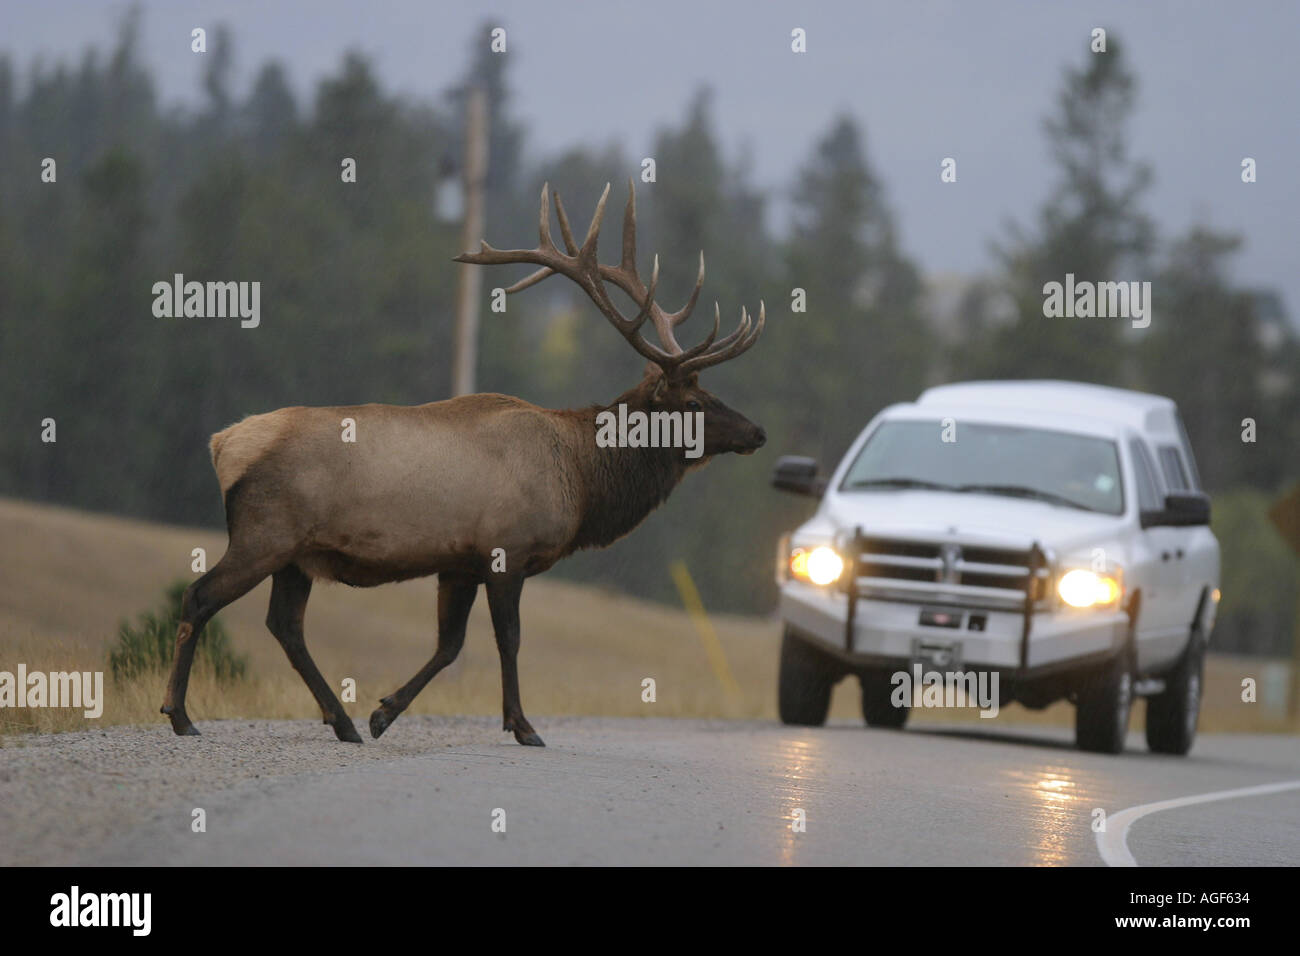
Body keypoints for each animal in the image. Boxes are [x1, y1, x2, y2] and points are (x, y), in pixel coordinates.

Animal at [160, 180, 766, 746]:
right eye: (694, 403)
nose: (757, 432)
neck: (580, 477)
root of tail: (223, 444)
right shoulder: (506, 550)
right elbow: (509, 639)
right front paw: (522, 725)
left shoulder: (459, 563)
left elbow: (449, 646)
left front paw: (383, 712)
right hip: (265, 534)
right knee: (201, 596)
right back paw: (181, 715)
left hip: (296, 555)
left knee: (284, 626)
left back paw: (343, 722)